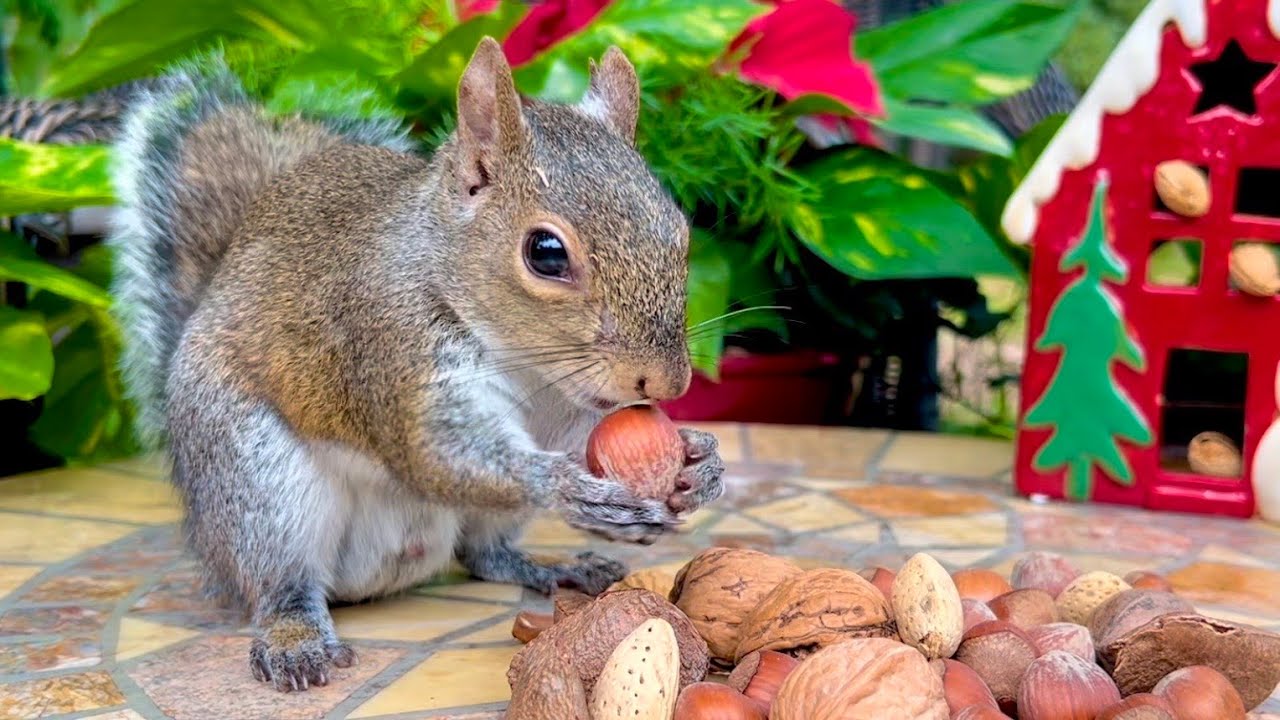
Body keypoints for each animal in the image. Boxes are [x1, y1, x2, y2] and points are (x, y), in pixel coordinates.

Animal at [106, 38, 725, 692]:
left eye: (680, 231)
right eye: (545, 253)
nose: (666, 381)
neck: (530, 367)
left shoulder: (562, 411)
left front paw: (701, 461)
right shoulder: (389, 342)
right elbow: (434, 453)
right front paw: (570, 487)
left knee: (482, 553)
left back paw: (551, 569)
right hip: (254, 479)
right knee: (277, 579)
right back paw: (294, 637)